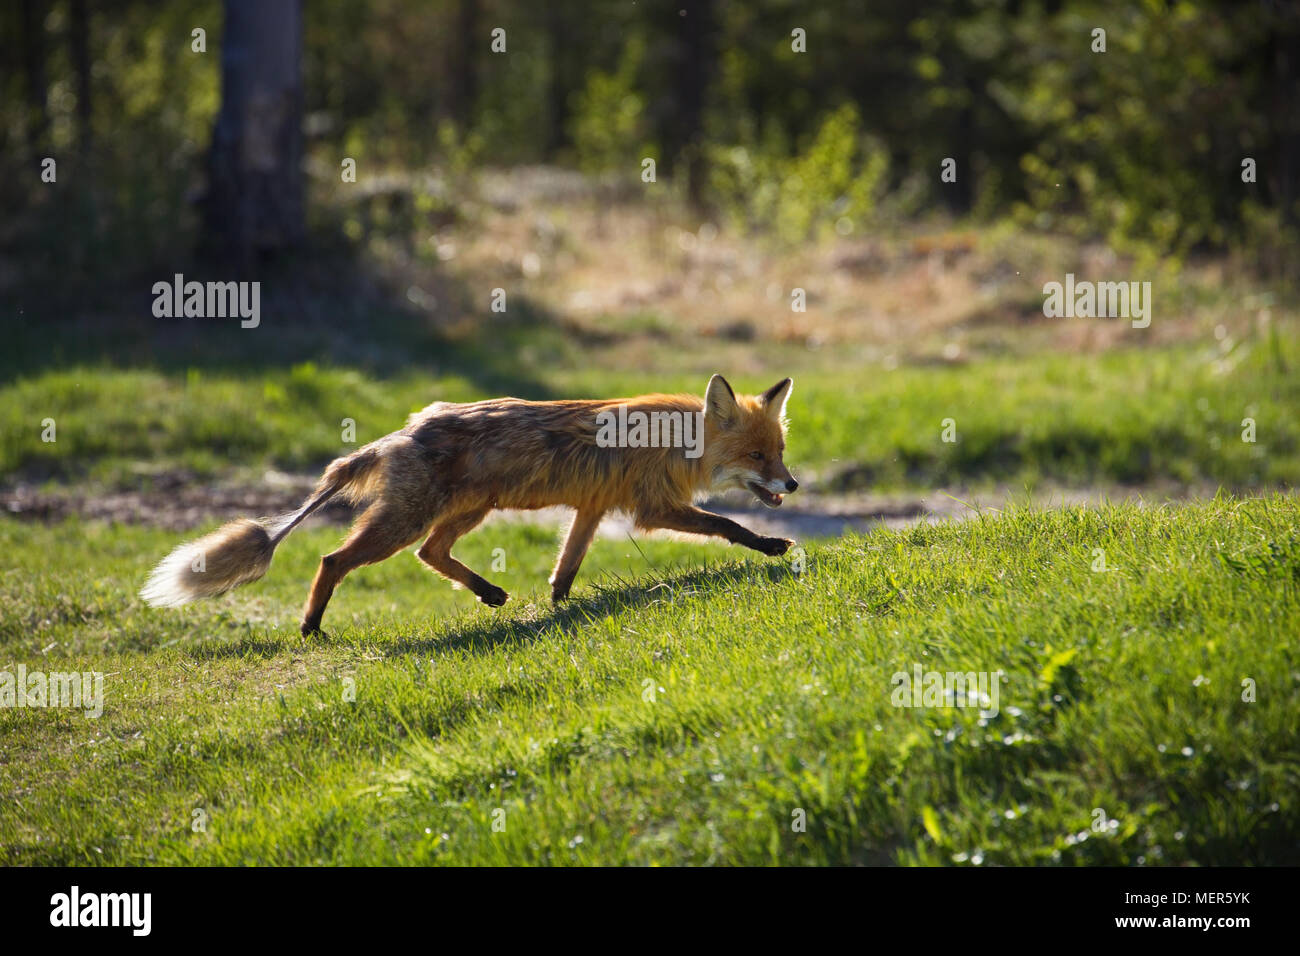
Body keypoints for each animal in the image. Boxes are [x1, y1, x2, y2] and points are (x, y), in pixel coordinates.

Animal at [140, 374, 800, 635]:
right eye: (758, 456)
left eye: (780, 451)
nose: (792, 486)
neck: (675, 441)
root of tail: (403, 430)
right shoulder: (652, 508)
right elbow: (728, 524)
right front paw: (772, 545)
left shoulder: (590, 508)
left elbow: (566, 567)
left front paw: (558, 607)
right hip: (405, 523)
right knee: (333, 560)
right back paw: (311, 628)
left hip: (464, 514)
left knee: (432, 555)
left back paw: (489, 593)